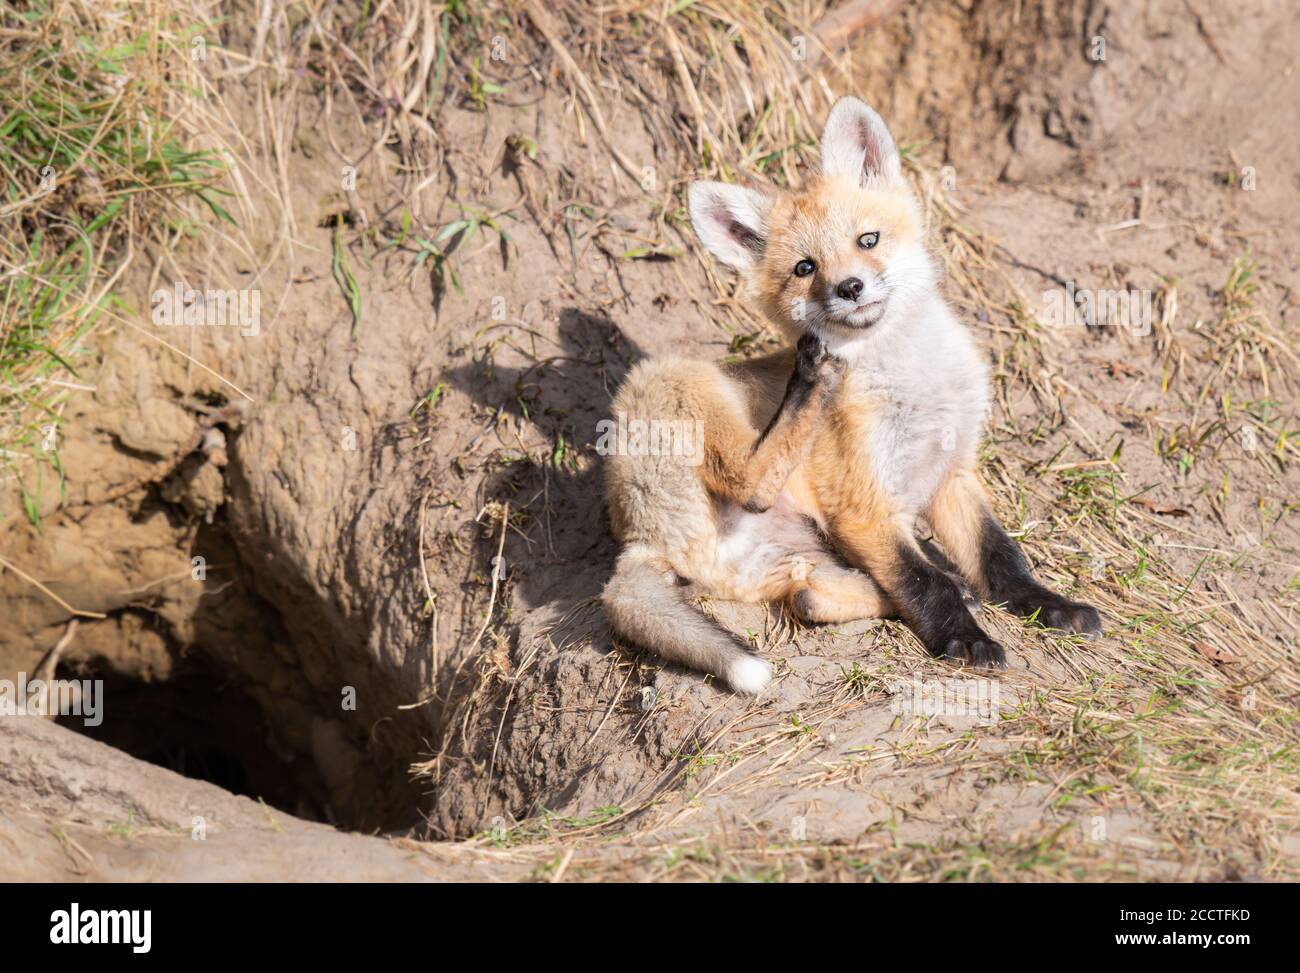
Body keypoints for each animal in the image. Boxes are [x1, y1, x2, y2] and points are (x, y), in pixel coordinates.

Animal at [601, 96, 1101, 694]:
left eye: (868, 240)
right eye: (805, 268)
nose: (850, 287)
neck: (916, 380)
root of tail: (634, 537)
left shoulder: (952, 475)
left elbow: (999, 558)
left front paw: (1047, 605)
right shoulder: (864, 508)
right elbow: (925, 584)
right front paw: (966, 640)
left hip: (796, 555)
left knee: (808, 598)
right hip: (674, 380)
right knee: (751, 482)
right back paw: (810, 377)